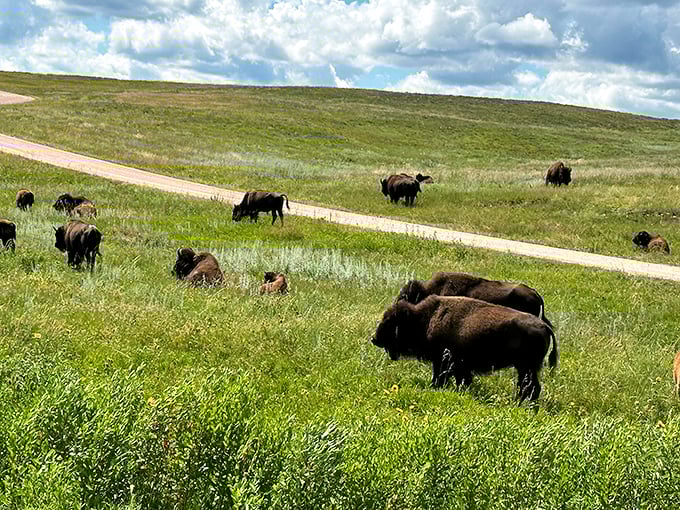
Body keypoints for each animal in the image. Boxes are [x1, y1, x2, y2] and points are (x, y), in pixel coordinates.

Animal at [371, 296, 557, 402]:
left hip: (527, 367)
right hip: (524, 368)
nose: (374, 338)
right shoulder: (458, 366)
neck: (426, 318)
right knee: (527, 386)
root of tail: (544, 326)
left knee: (531, 387)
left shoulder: (445, 362)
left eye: (389, 322)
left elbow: (441, 377)